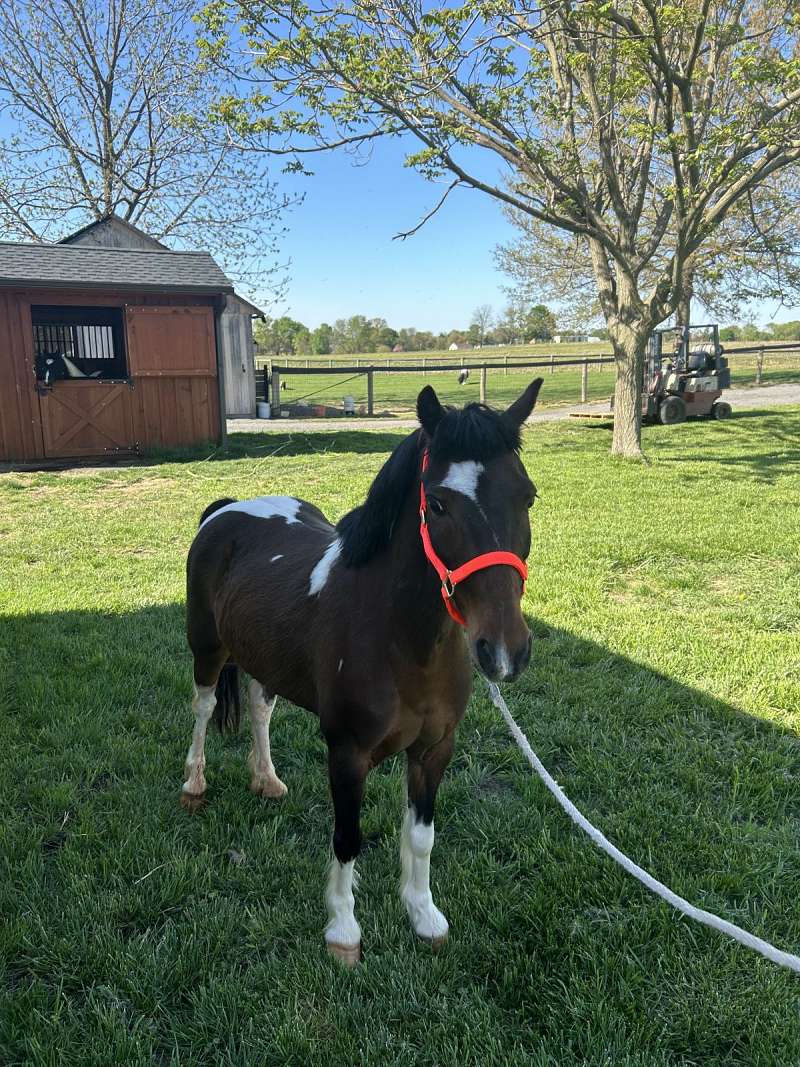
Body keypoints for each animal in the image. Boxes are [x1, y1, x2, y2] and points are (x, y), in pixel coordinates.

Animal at [182, 378, 543, 965]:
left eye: (527, 495)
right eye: (437, 503)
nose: (505, 651)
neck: (401, 641)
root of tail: (230, 509)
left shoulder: (434, 749)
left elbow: (420, 837)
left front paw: (424, 916)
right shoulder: (347, 754)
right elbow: (348, 838)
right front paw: (343, 932)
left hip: (265, 659)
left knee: (259, 708)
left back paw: (267, 779)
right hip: (208, 650)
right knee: (204, 707)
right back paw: (194, 784)